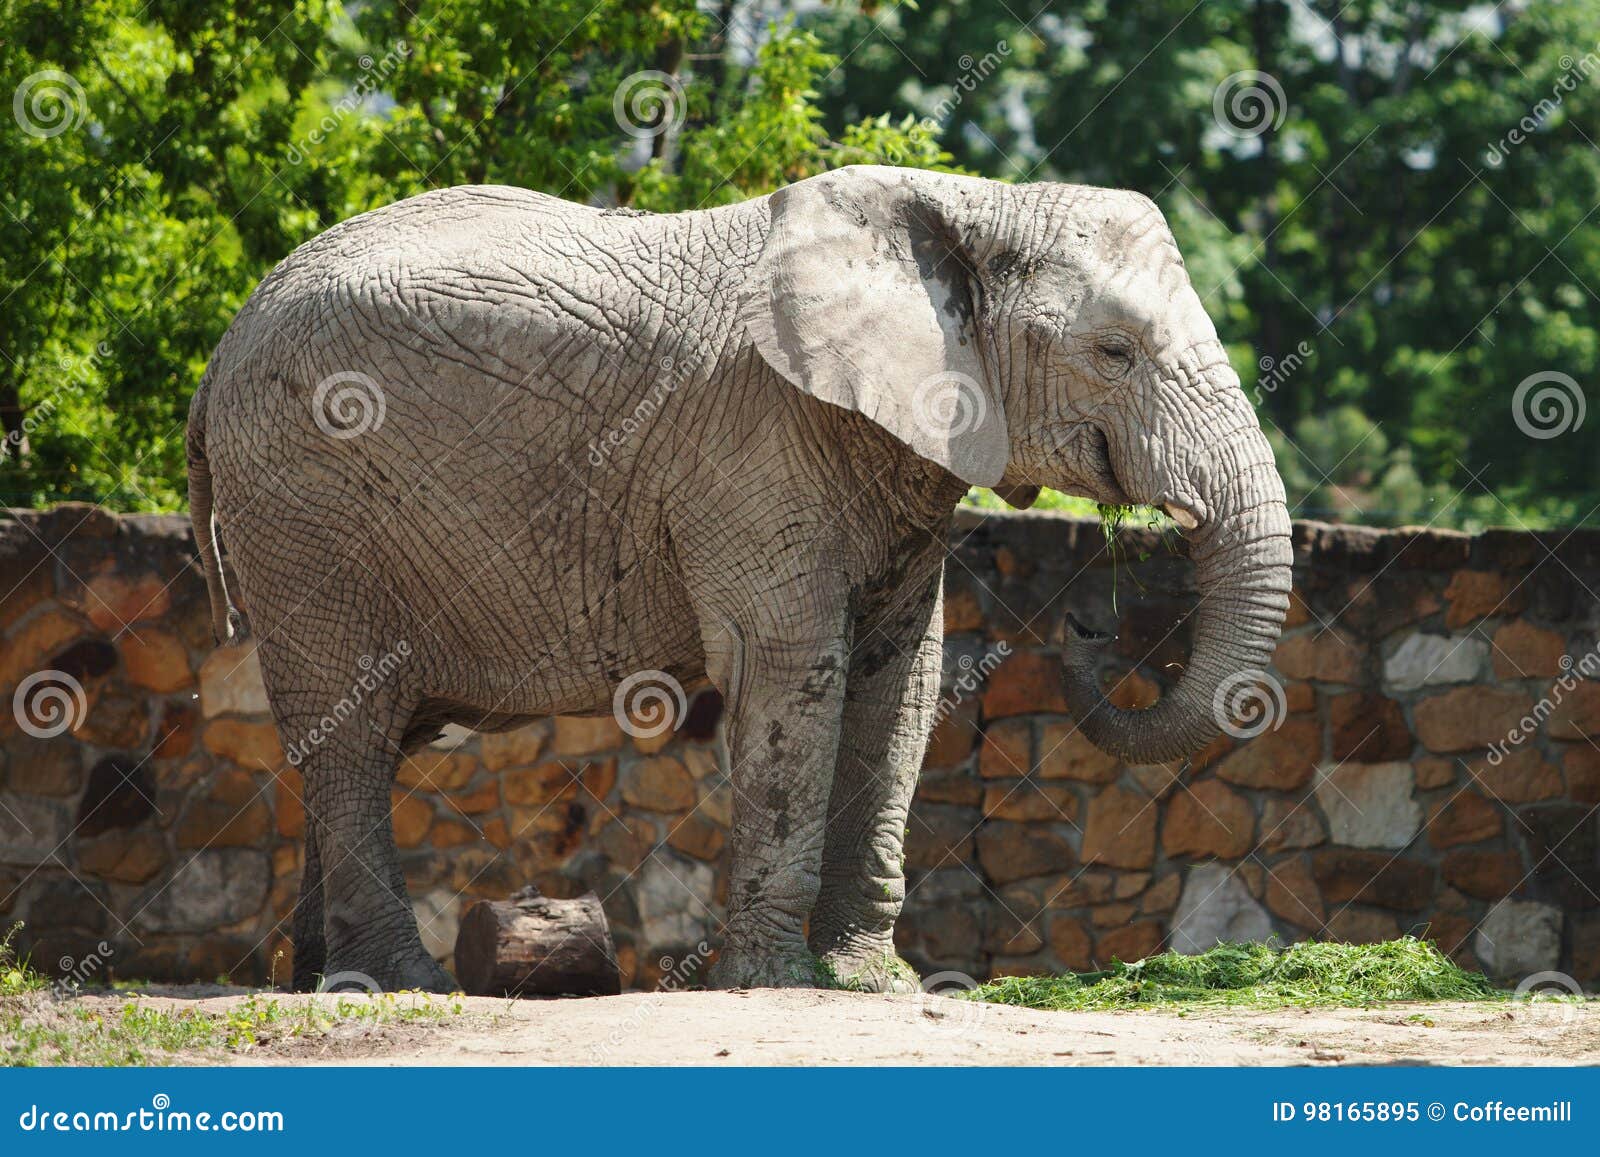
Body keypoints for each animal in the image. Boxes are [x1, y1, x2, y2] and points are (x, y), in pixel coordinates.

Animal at [187, 165, 1292, 993]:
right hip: (304, 509)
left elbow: (902, 683)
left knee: (355, 742)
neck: (965, 203)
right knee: (354, 733)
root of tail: (220, 349)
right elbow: (790, 668)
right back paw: (402, 980)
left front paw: (869, 982)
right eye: (1114, 352)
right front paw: (774, 980)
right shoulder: (753, 442)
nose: (1087, 632)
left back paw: (320, 976)